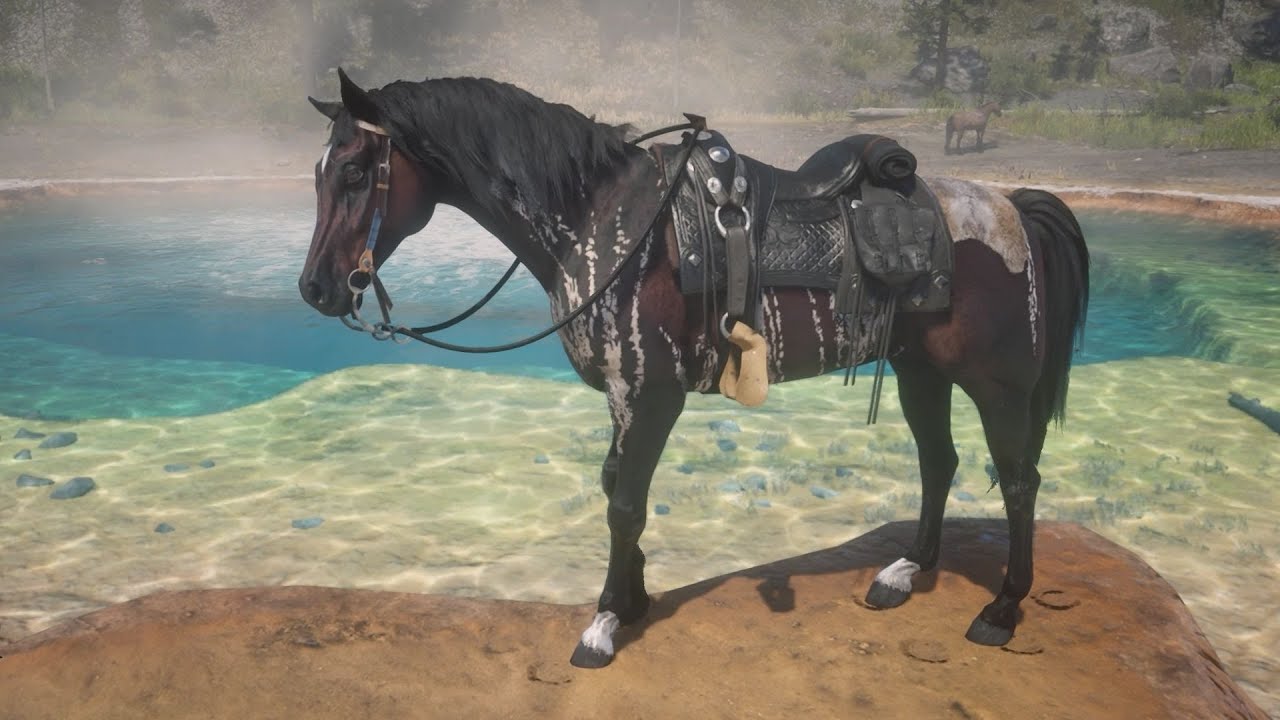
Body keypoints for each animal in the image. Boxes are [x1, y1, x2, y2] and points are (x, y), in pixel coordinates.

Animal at [298, 69, 1089, 669]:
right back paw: (905, 571)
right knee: (939, 462)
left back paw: (1003, 608)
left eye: (357, 171)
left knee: (1019, 482)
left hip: (997, 384)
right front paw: (633, 599)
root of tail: (1011, 206)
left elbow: (624, 503)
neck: (604, 218)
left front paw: (604, 623)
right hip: (921, 369)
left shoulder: (651, 393)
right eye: (319, 172)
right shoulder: (622, 395)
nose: (317, 289)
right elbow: (616, 485)